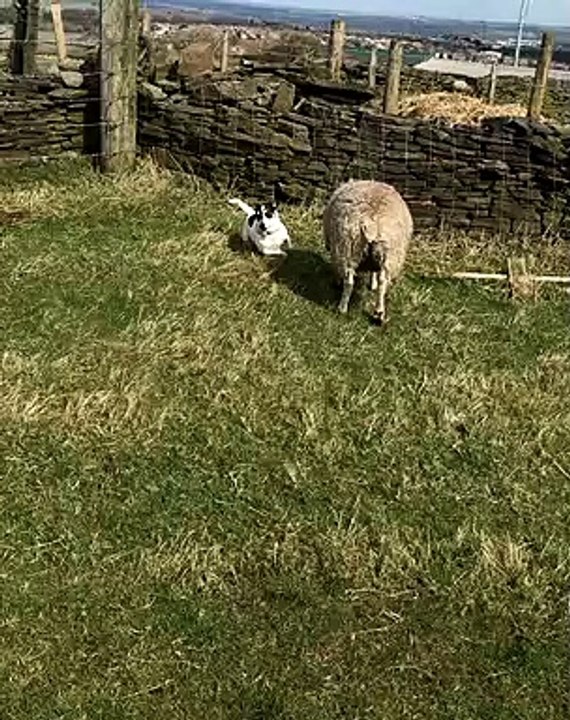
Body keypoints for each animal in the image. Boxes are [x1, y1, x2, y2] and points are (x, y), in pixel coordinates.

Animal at [323, 179, 413, 325]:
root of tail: (372, 223)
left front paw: (336, 281)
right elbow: (374, 272)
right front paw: (372, 284)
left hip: (348, 249)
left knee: (349, 281)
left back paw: (342, 308)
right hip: (387, 253)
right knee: (383, 281)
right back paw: (379, 313)